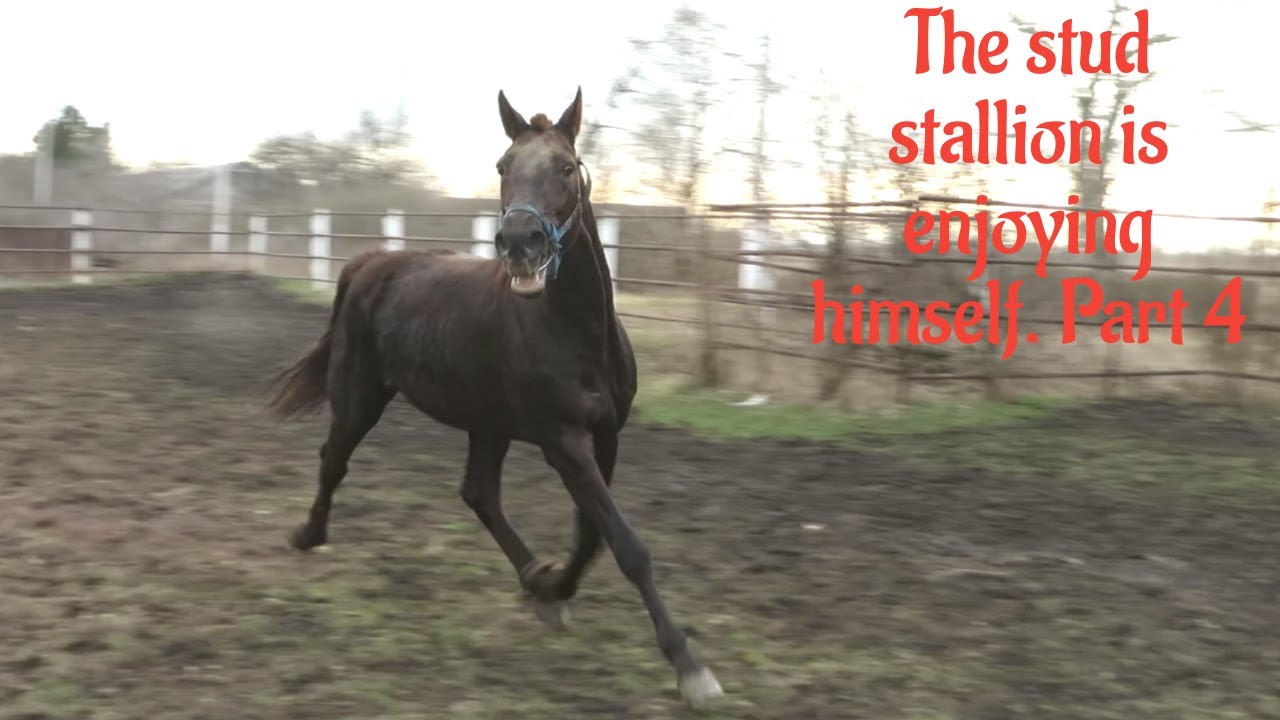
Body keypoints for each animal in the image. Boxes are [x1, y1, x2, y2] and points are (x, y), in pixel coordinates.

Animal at [264, 87, 724, 705]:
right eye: (504, 166)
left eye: (565, 167)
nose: (518, 242)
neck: (576, 331)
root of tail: (369, 262)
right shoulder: (562, 440)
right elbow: (625, 543)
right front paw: (688, 665)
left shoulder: (605, 436)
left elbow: (592, 534)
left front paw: (556, 589)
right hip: (360, 398)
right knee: (333, 460)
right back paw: (309, 536)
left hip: (487, 422)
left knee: (478, 493)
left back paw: (534, 580)